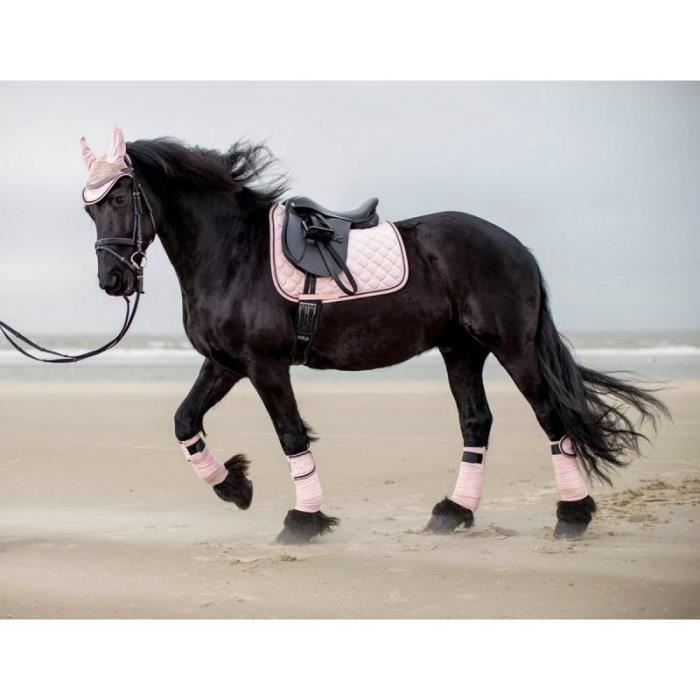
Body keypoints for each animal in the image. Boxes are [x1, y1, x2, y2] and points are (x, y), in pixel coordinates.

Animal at [80, 127, 667, 544]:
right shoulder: (225, 363)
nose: (114, 280)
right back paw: (453, 513)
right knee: (476, 422)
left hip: (511, 346)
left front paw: (303, 521)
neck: (233, 253)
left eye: (121, 198)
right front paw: (236, 486)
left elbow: (290, 435)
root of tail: (513, 245)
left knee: (549, 417)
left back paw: (572, 515)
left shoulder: (265, 365)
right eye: (90, 207)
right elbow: (185, 420)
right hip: (461, 350)